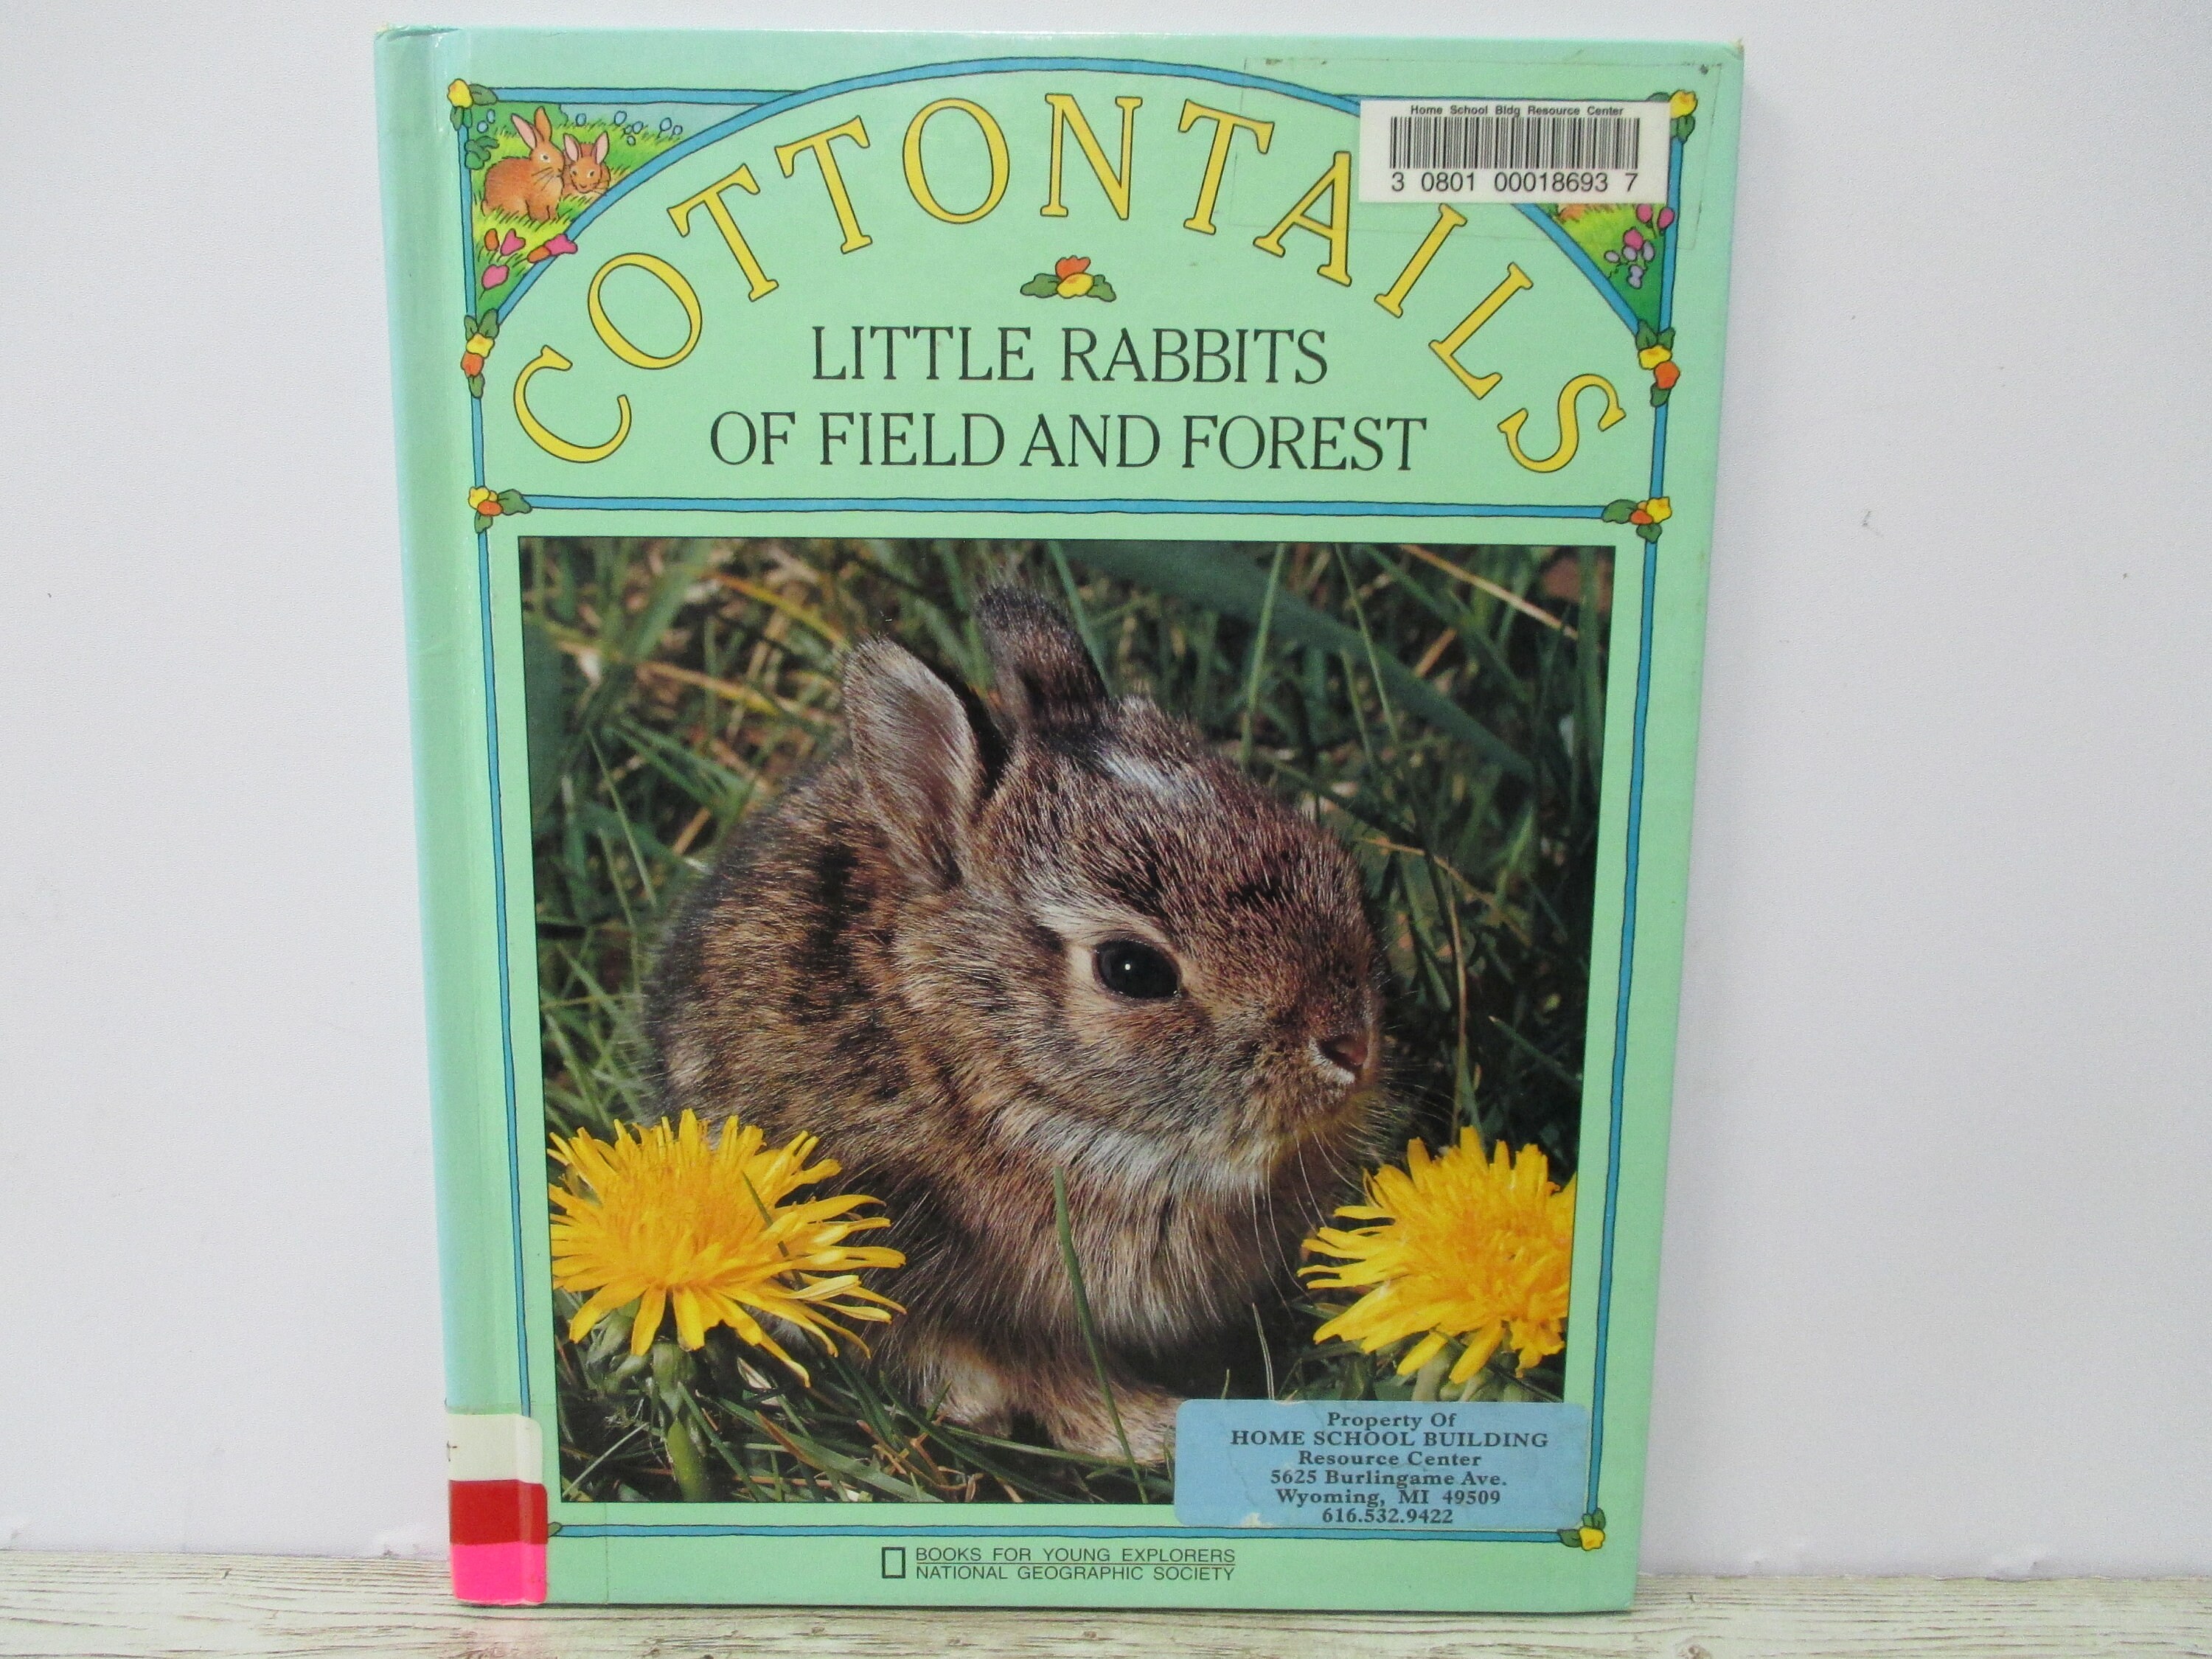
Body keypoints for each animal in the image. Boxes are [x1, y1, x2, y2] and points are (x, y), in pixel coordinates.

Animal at [482, 109, 565, 223]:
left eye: (559, 152)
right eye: (545, 157)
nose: (561, 169)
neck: (540, 173)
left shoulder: (552, 205)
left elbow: (552, 213)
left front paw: (555, 220)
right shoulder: (536, 202)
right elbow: (540, 214)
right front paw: (542, 222)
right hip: (517, 205)